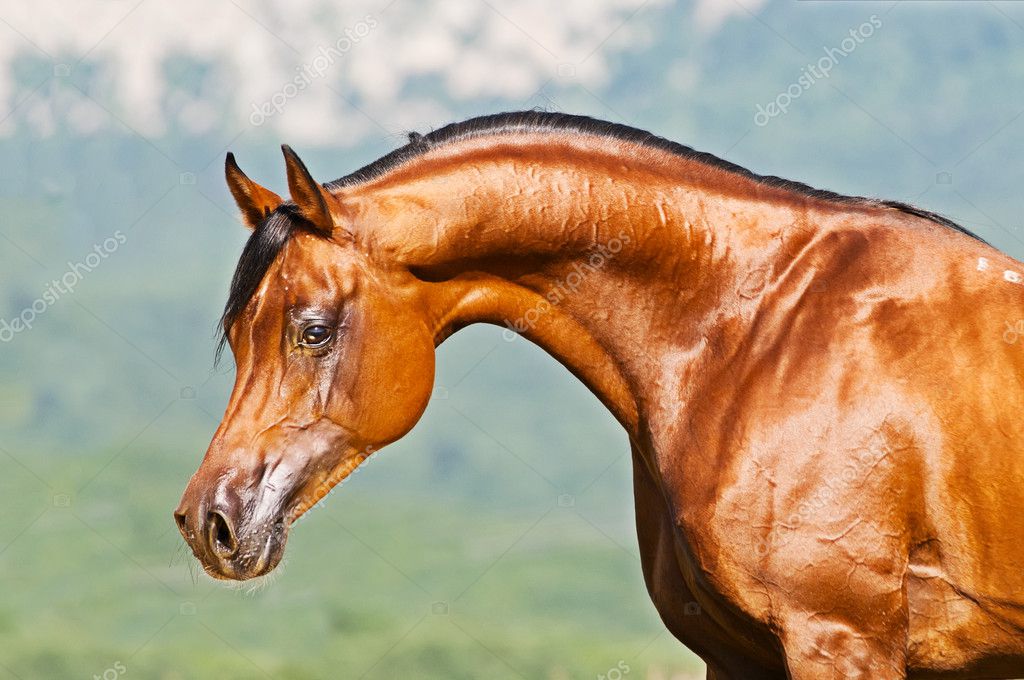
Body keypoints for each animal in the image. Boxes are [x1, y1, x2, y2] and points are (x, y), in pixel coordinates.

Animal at [174, 111, 1024, 678]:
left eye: (312, 330)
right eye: (237, 335)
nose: (209, 520)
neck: (763, 330)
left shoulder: (841, 640)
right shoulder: (737, 658)